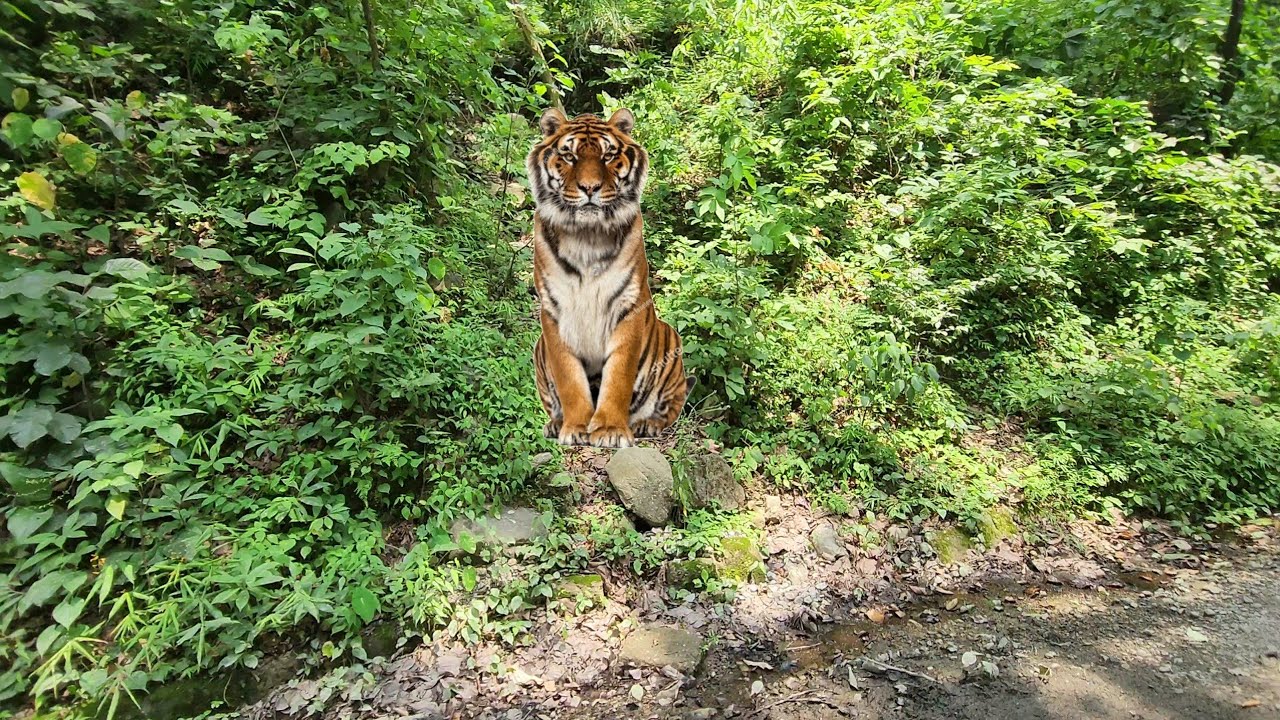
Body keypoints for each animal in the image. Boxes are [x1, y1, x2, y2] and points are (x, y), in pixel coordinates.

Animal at [527, 107, 692, 448]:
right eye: (569, 156)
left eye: (608, 156)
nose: (590, 188)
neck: (586, 237)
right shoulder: (553, 310)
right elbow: (568, 375)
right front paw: (576, 426)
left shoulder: (629, 306)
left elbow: (619, 375)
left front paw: (610, 430)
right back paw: (555, 423)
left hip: (671, 342)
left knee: (671, 407)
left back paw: (647, 425)